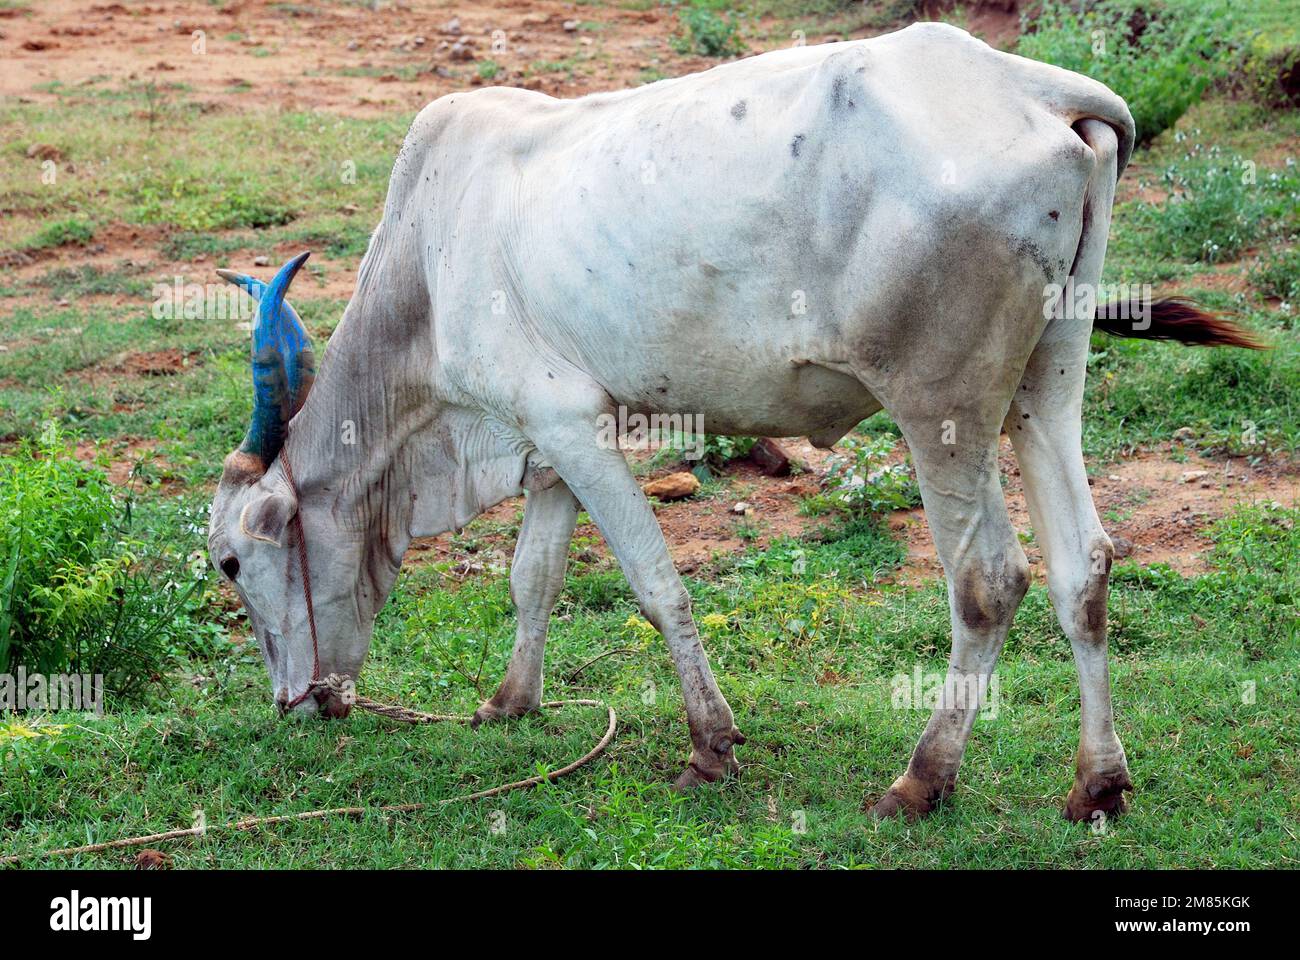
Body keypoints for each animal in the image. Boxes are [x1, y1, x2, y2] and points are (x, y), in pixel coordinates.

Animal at [207, 22, 1261, 821]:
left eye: (229, 564)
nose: (294, 703)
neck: (428, 261)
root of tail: (1030, 88)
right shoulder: (551, 442)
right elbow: (533, 578)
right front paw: (510, 703)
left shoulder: (570, 426)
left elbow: (655, 584)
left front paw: (710, 746)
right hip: (1049, 382)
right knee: (1085, 568)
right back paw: (1099, 785)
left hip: (942, 408)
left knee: (990, 582)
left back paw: (920, 781)